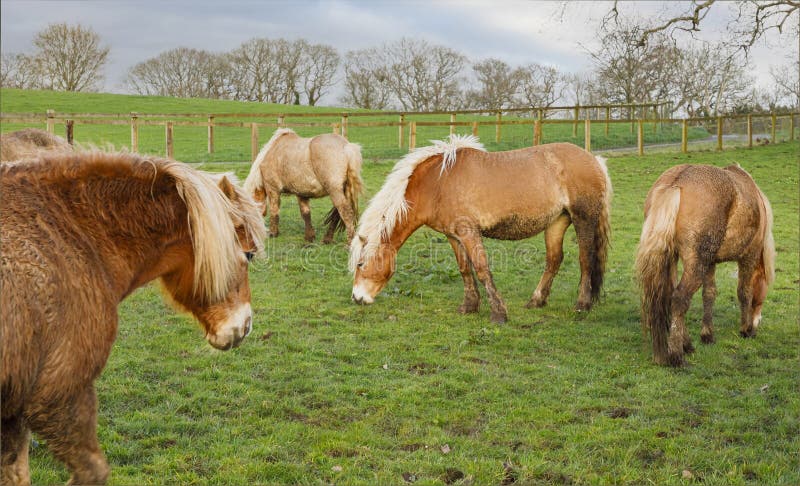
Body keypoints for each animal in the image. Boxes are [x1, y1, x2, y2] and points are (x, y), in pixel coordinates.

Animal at [1, 150, 266, 485]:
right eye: (248, 254)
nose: (244, 326)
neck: (70, 232)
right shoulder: (60, 394)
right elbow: (93, 471)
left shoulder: (12, 414)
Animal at [349, 135, 612, 324]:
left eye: (361, 264)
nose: (357, 297)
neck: (436, 184)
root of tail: (595, 160)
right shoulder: (453, 235)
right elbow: (465, 269)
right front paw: (469, 306)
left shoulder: (468, 232)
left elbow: (482, 268)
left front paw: (498, 313)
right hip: (557, 222)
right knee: (554, 260)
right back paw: (536, 301)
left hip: (583, 219)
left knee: (585, 259)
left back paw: (582, 305)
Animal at [635, 164, 775, 367]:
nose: (758, 320)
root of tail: (676, 182)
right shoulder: (749, 256)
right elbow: (744, 293)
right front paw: (746, 329)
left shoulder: (710, 263)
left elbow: (709, 294)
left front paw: (707, 335)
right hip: (696, 264)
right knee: (679, 299)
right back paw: (676, 355)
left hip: (675, 259)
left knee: (670, 295)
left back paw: (686, 345)